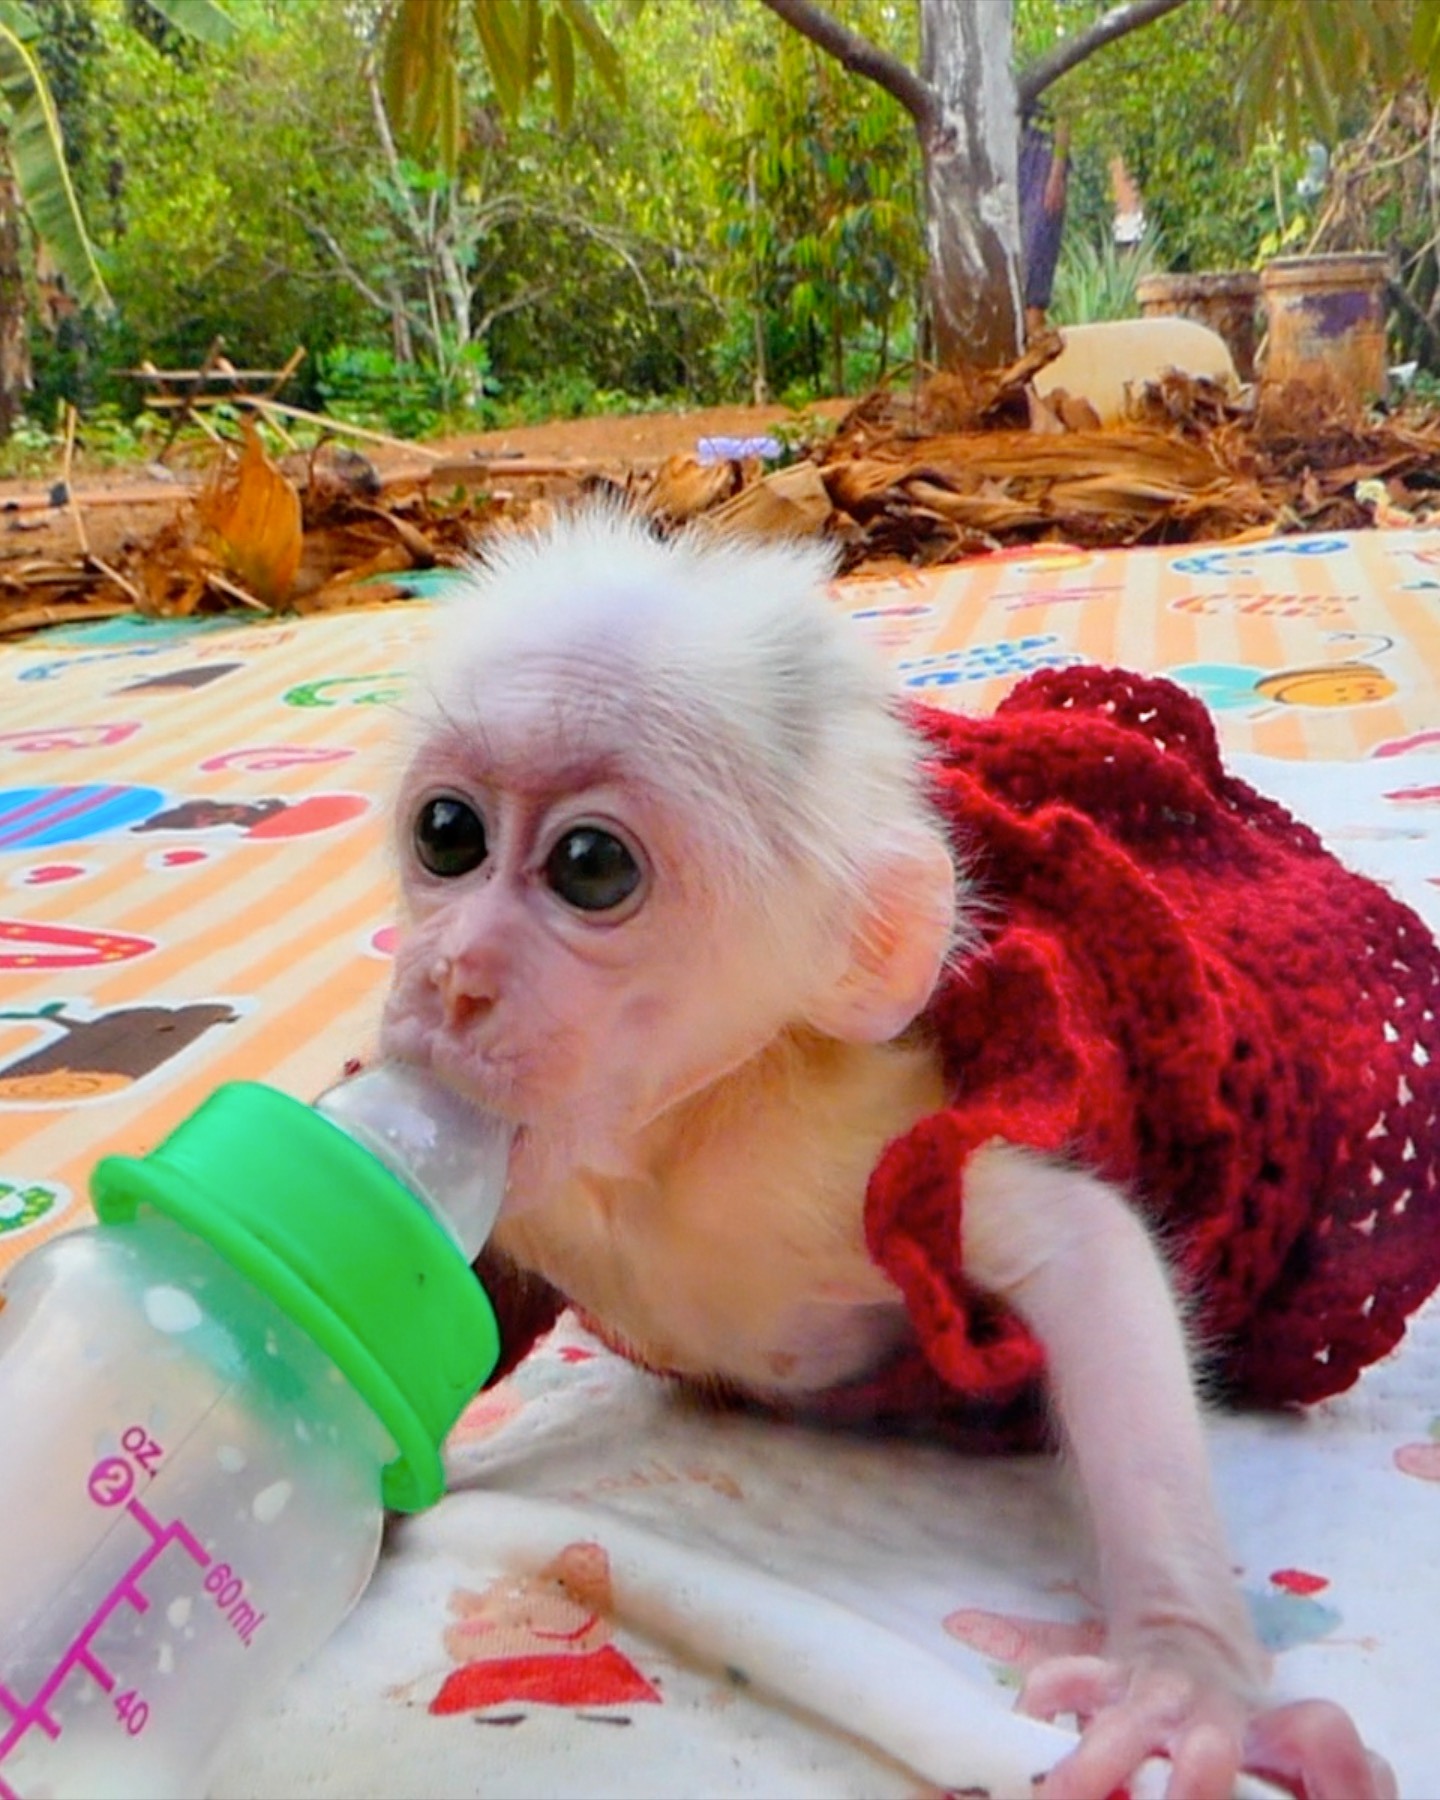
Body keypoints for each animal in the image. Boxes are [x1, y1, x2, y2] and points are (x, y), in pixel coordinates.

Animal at [381, 505, 1439, 1800]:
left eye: (591, 867)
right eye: (447, 835)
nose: (451, 979)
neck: (669, 1145)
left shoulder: (855, 1144)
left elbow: (1089, 1258)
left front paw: (1186, 1678)